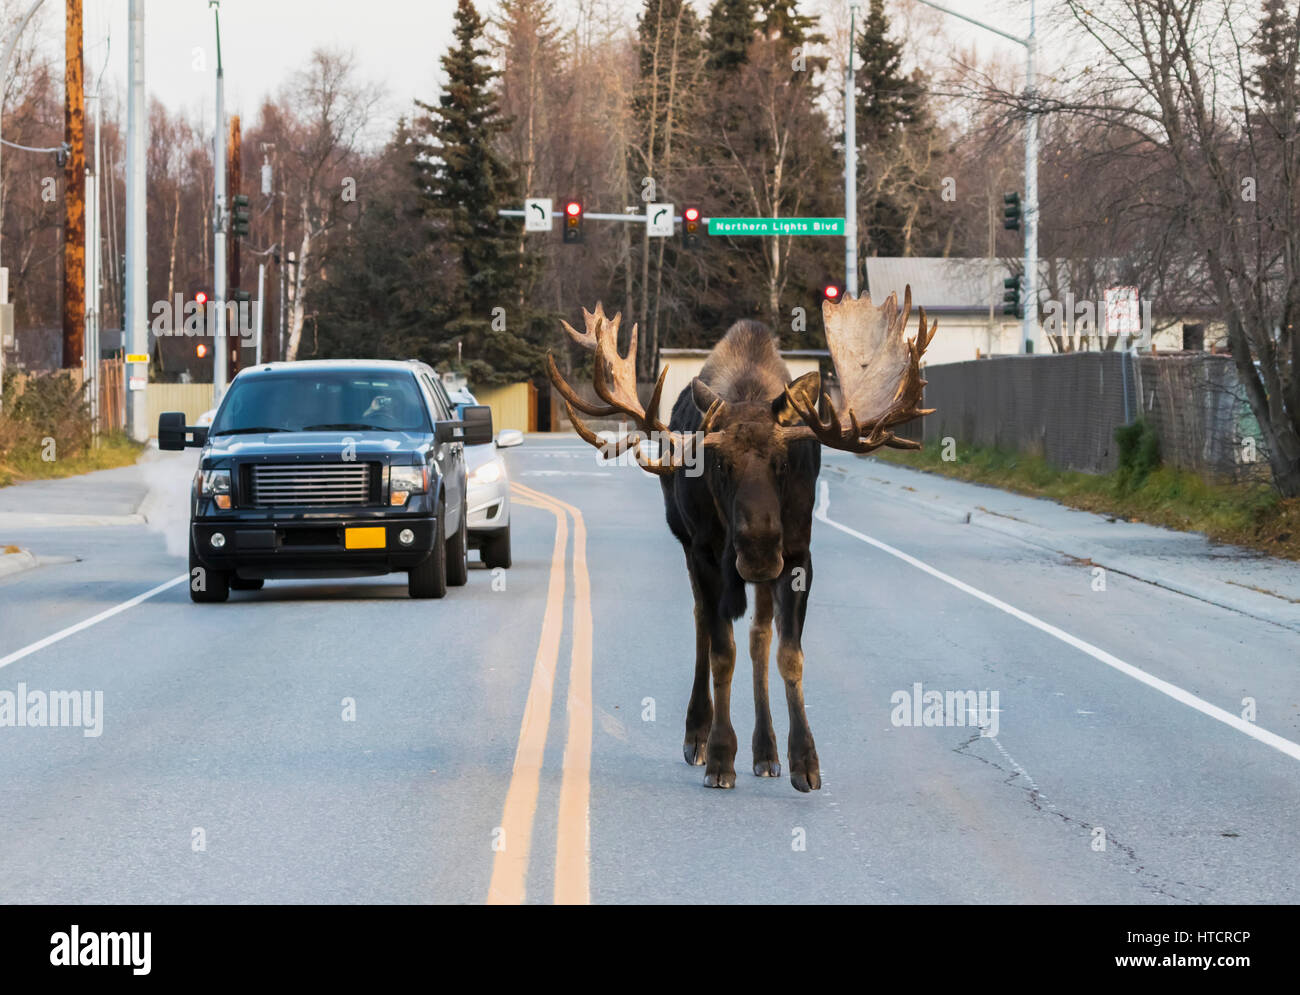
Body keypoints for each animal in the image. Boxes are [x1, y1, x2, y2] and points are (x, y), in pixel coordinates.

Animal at [548, 289, 935, 792]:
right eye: (719, 464)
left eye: (784, 462)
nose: (758, 548)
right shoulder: (706, 553)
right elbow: (721, 653)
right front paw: (719, 755)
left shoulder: (798, 555)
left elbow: (788, 654)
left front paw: (803, 759)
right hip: (690, 547)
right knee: (702, 622)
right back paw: (697, 732)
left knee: (758, 636)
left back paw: (765, 751)